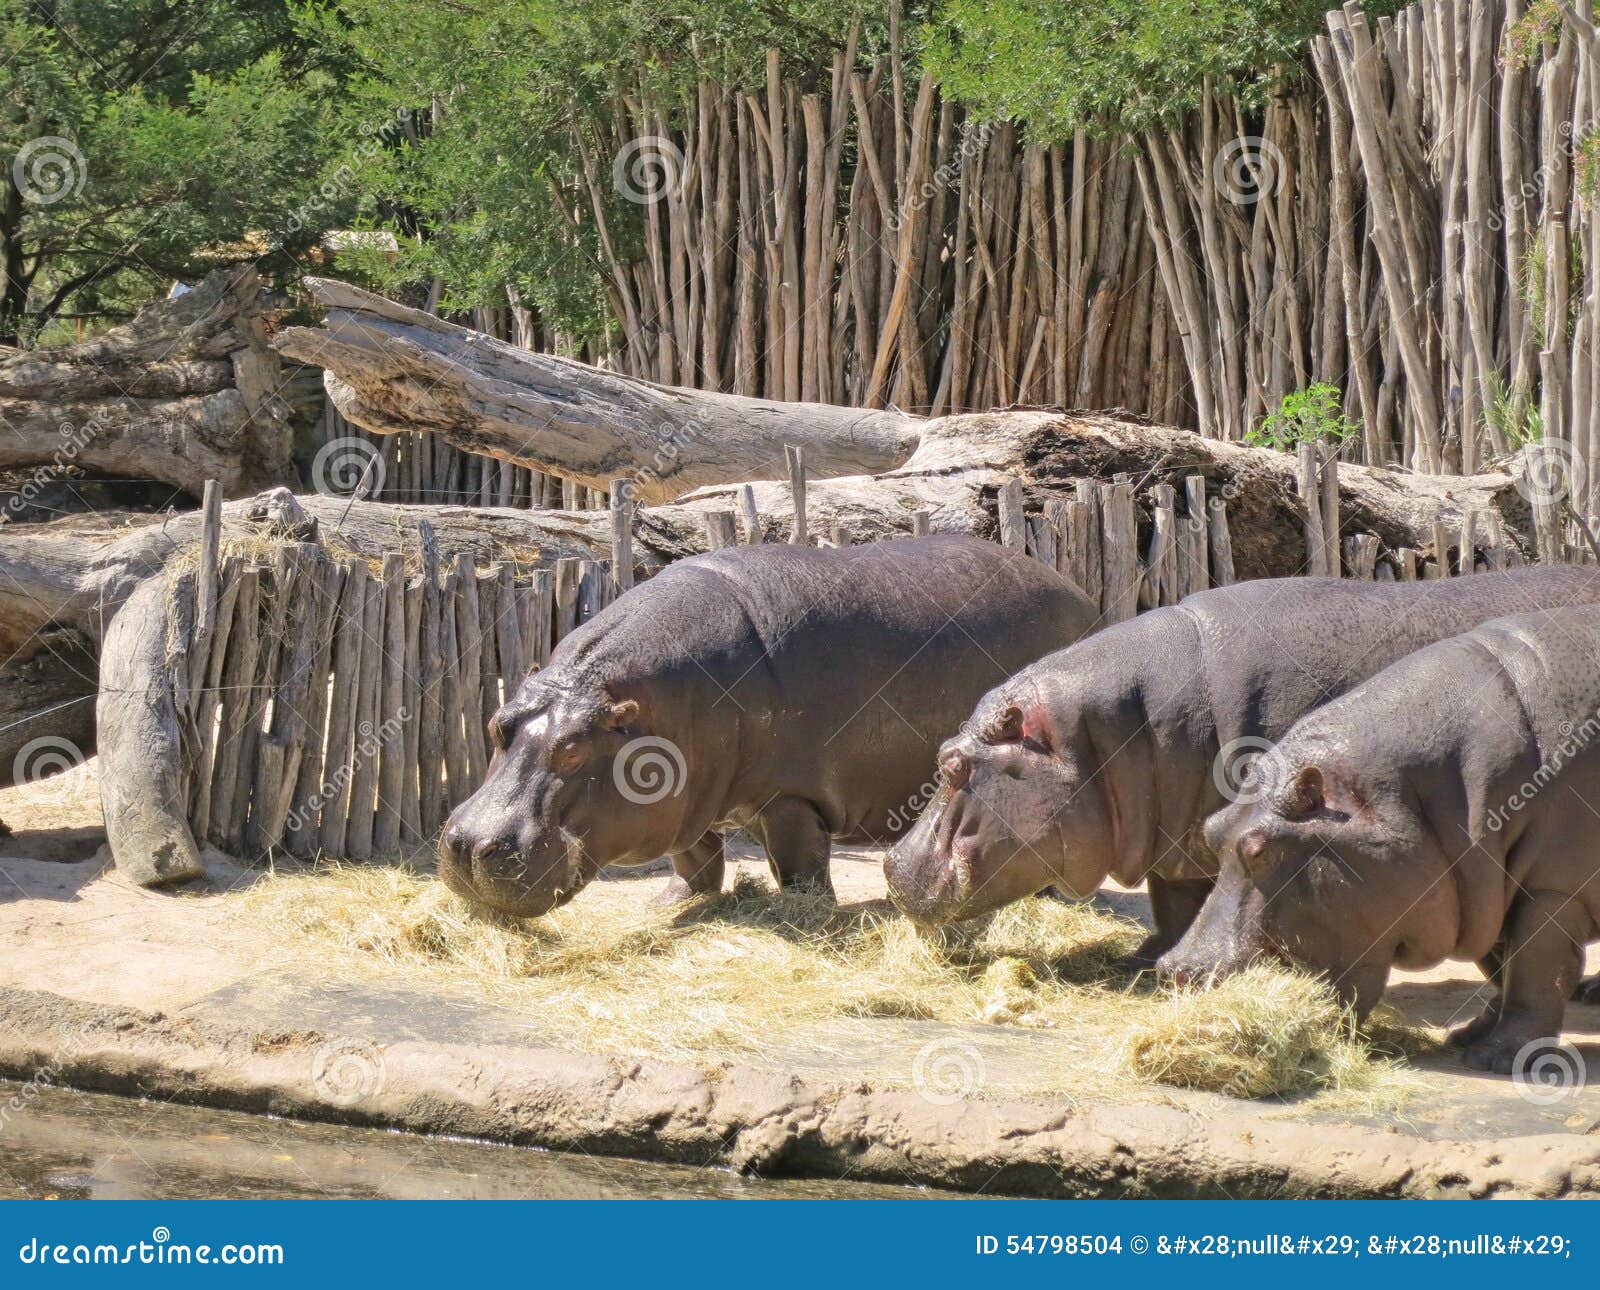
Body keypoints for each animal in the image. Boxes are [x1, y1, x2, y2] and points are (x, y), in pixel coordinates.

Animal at [439, 534, 1098, 917]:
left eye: (575, 750)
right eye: (496, 724)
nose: (469, 845)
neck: (641, 705)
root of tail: (1081, 595)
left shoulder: (790, 797)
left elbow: (798, 862)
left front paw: (810, 913)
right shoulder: (686, 797)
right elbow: (693, 857)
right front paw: (669, 903)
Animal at [883, 568, 1600, 966]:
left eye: (953, 764)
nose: (890, 866)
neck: (1112, 732)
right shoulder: (1175, 834)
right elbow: (1175, 899)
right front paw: (1145, 958)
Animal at [1162, 603, 1600, 1072]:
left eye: (1259, 850)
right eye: (1212, 830)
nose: (1174, 969)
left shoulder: (1551, 889)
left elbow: (1535, 970)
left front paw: (1495, 1058)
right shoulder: (1489, 887)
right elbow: (1500, 965)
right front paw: (1469, 1035)